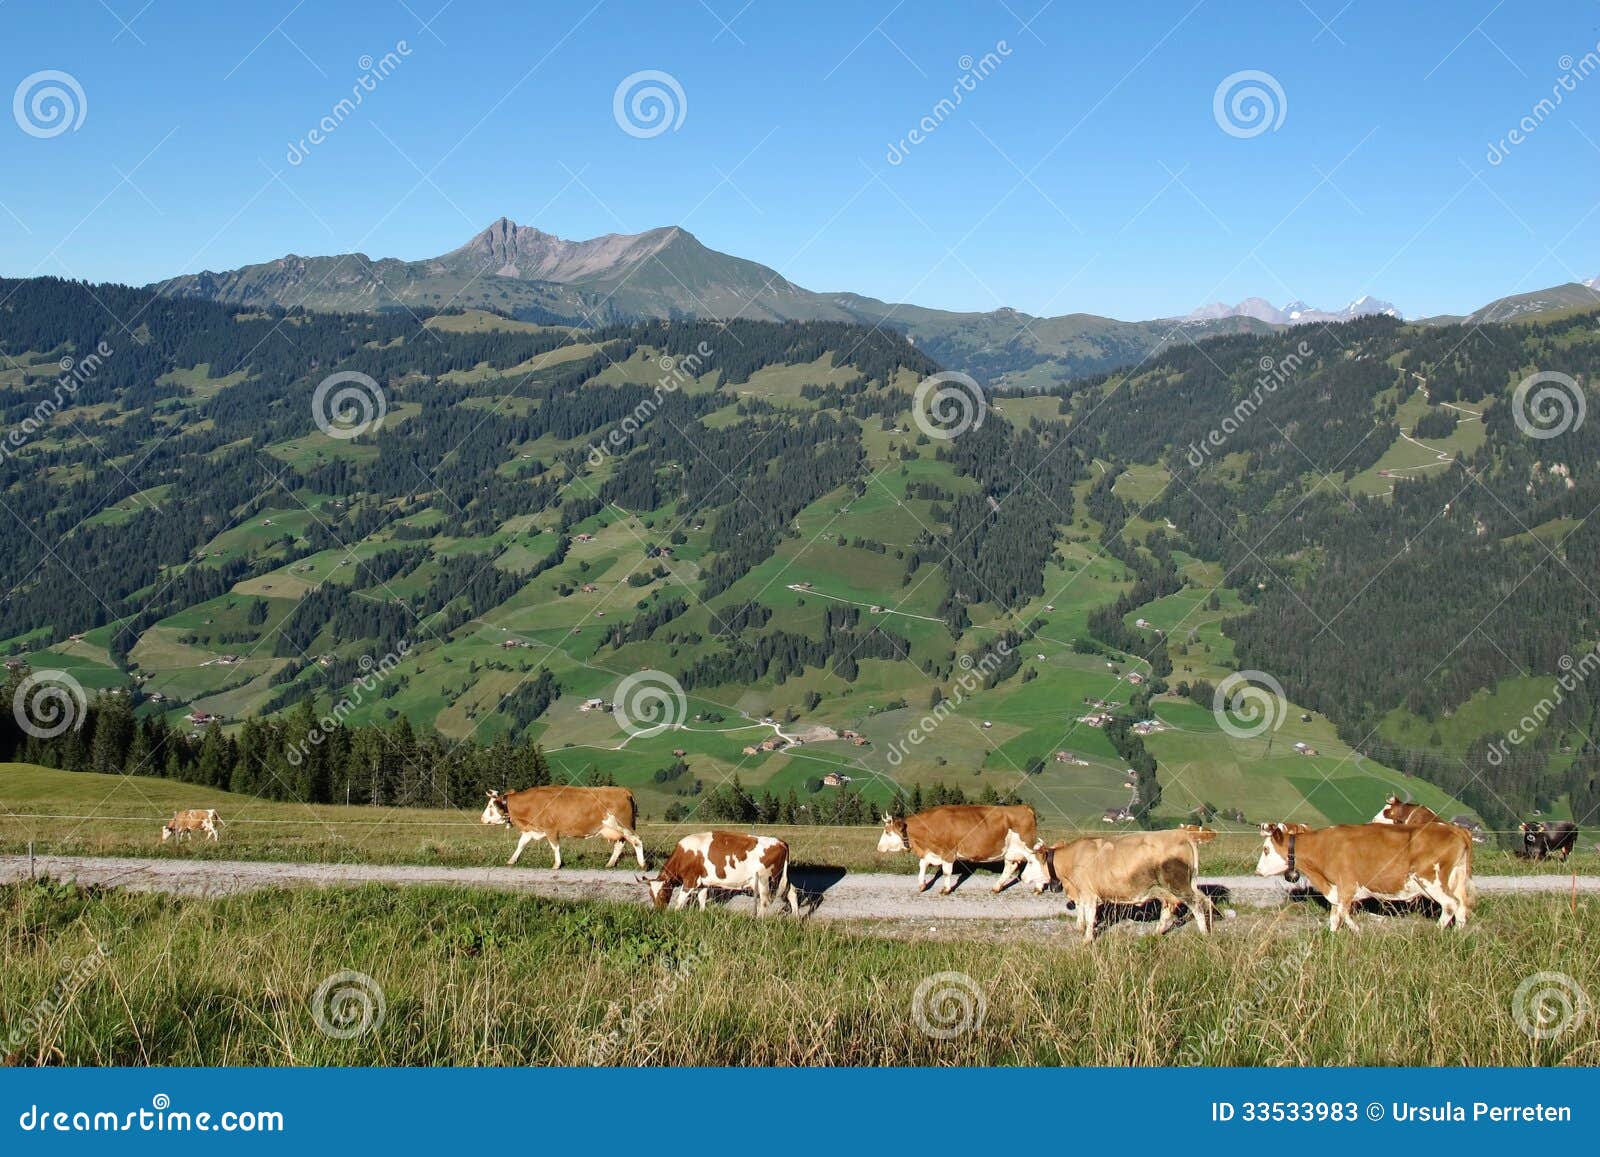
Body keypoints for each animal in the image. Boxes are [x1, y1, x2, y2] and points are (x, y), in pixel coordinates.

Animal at [480, 786, 645, 870]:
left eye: (490, 806)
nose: (482, 818)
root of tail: (624, 790)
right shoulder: (531, 829)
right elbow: (521, 844)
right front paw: (511, 860)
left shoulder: (551, 829)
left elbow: (555, 847)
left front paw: (557, 864)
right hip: (618, 830)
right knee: (620, 844)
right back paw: (610, 863)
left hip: (623, 825)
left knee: (637, 841)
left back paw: (643, 864)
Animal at [639, 831, 801, 917]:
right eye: (650, 894)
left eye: (662, 893)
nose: (657, 911)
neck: (684, 855)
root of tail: (780, 842)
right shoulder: (703, 882)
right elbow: (702, 898)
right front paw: (702, 913)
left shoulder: (690, 881)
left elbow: (680, 900)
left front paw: (675, 913)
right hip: (780, 878)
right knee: (792, 892)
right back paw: (796, 917)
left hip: (764, 880)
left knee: (765, 902)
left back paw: (759, 920)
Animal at [876, 804, 1045, 894]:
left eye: (887, 832)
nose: (878, 847)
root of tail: (1024, 808)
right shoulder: (930, 852)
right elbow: (922, 865)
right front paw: (922, 885)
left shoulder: (948, 852)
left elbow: (946, 872)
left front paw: (945, 889)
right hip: (1010, 850)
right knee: (1010, 866)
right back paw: (996, 887)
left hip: (1027, 847)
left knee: (1036, 862)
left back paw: (1038, 888)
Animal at [1024, 828, 1215, 941]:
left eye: (1031, 862)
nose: (1023, 877)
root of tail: (1181, 833)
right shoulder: (1083, 893)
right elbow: (1083, 912)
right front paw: (1080, 928)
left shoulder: (1088, 893)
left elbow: (1089, 915)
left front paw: (1087, 939)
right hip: (1167, 888)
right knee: (1177, 905)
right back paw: (1157, 933)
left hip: (1179, 885)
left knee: (1197, 904)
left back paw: (1205, 933)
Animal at [1256, 821, 1472, 931]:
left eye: (1266, 849)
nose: (1257, 871)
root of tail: (1455, 828)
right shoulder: (1336, 890)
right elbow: (1335, 917)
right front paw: (1335, 938)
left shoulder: (1346, 886)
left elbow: (1342, 914)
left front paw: (1355, 932)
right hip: (1455, 880)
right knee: (1462, 907)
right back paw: (1456, 935)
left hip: (1430, 880)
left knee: (1451, 904)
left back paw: (1437, 932)